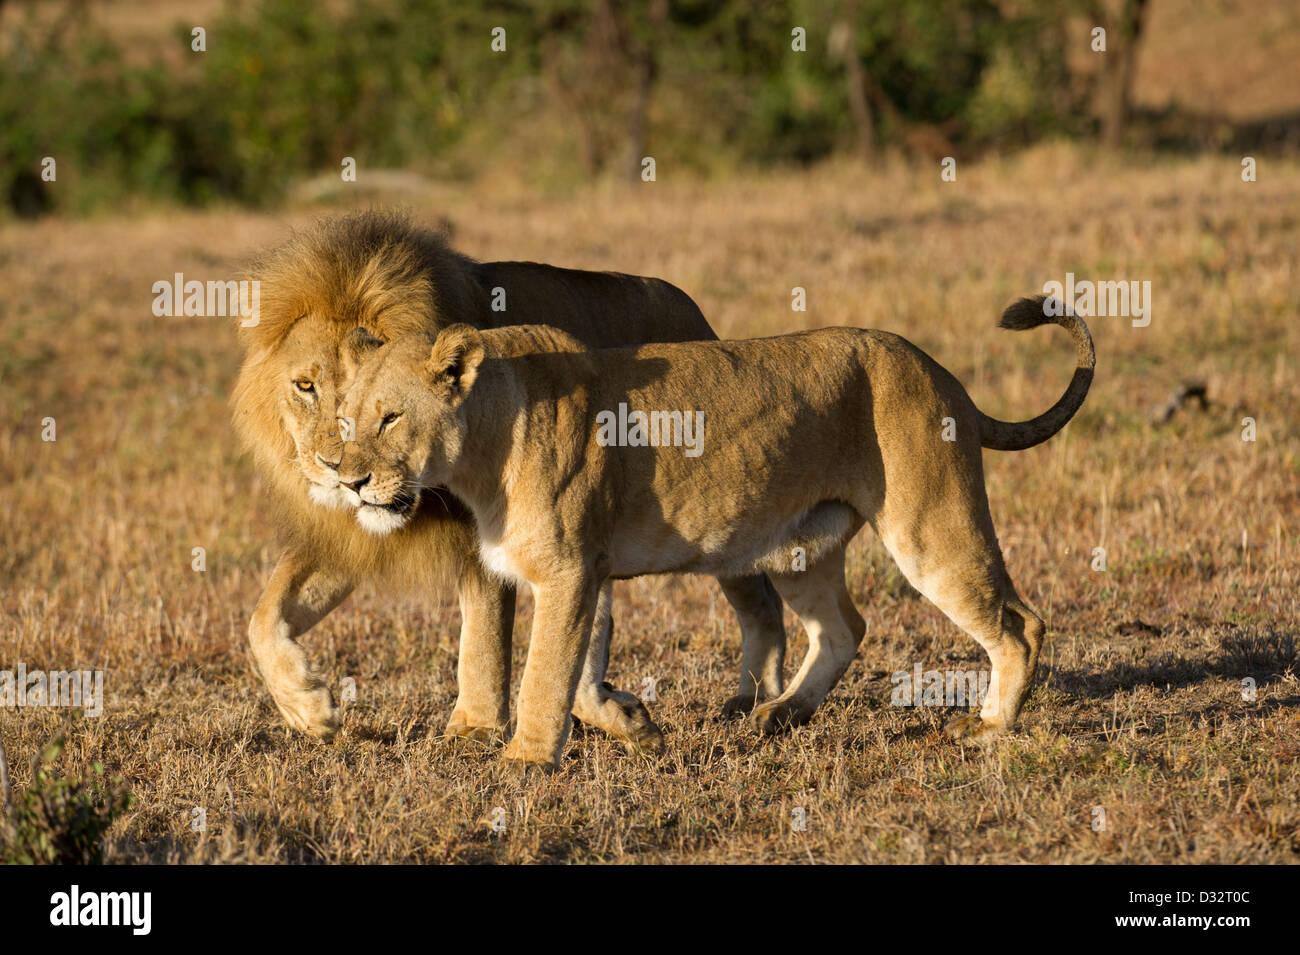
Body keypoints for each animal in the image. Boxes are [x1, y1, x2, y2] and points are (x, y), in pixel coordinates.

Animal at [229, 211, 786, 750]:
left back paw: (759, 700)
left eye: (386, 412)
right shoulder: (351, 533)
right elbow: (263, 618)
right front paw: (308, 707)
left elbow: (486, 637)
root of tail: (690, 306)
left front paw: (475, 728)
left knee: (760, 599)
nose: (338, 472)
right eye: (306, 386)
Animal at [332, 297, 1094, 770]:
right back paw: (779, 715)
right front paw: (637, 726)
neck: (483, 445)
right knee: (844, 626)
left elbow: (548, 671)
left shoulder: (570, 567)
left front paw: (525, 762)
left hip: (929, 526)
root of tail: (940, 371)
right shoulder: (587, 570)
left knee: (1021, 624)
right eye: (345, 416)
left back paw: (990, 727)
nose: (347, 479)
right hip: (799, 543)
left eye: (391, 417)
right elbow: (580, 672)